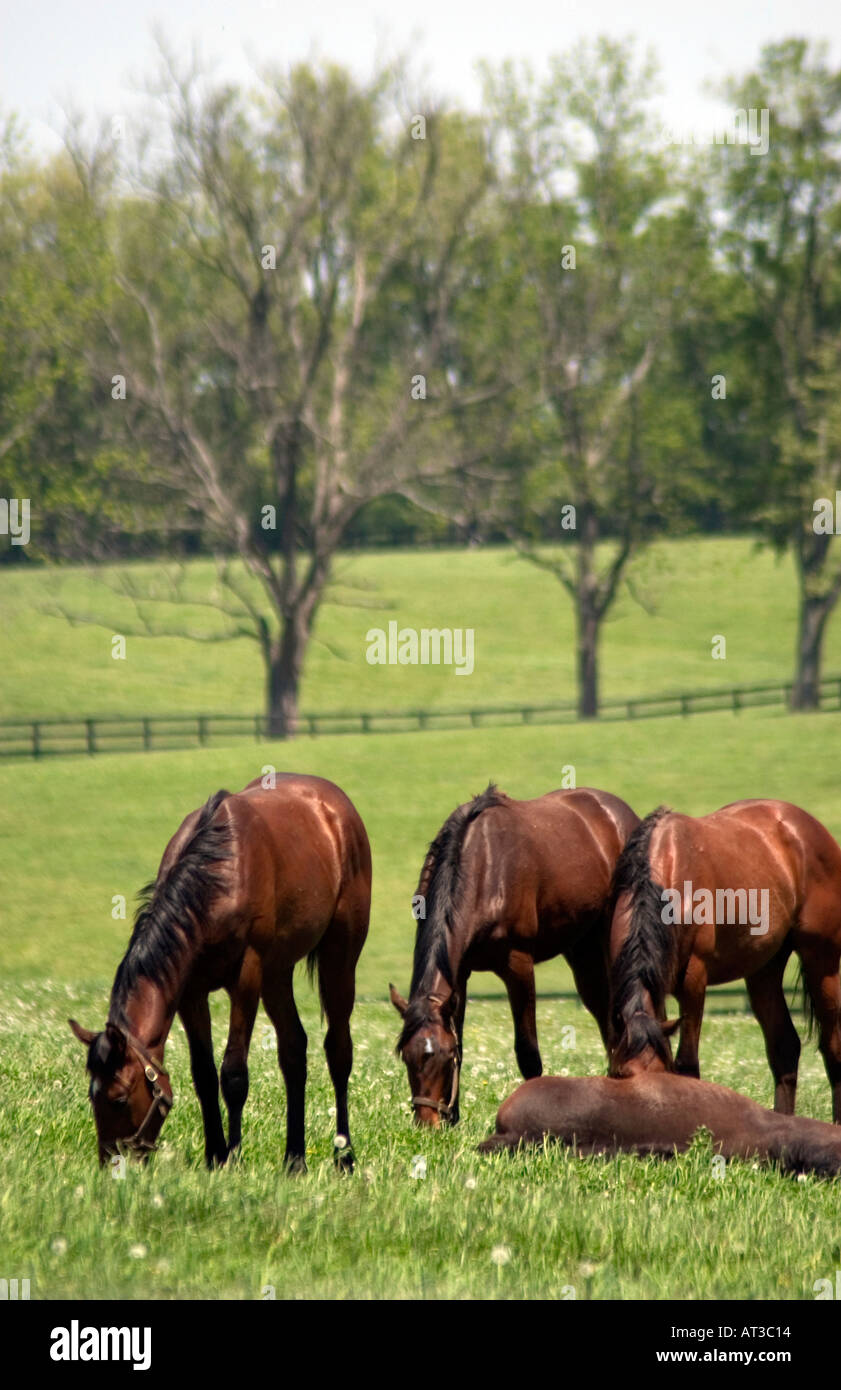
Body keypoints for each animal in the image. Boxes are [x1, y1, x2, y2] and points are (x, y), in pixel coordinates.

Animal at [69, 774, 371, 1171]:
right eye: (93, 1096)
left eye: (118, 1098)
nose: (111, 1164)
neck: (216, 877)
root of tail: (336, 804)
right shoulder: (190, 992)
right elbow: (204, 1074)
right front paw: (215, 1155)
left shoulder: (246, 979)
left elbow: (234, 1074)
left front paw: (234, 1157)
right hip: (277, 974)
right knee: (294, 1050)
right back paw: (294, 1160)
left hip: (339, 959)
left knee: (338, 1050)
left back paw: (344, 1156)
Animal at [389, 783, 639, 1126]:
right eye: (407, 1055)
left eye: (443, 1055)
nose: (427, 1124)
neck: (483, 867)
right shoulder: (460, 973)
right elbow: (462, 1038)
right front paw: (454, 1119)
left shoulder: (518, 965)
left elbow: (528, 1053)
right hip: (582, 950)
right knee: (607, 1020)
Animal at [607, 801, 841, 1121]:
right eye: (619, 1075)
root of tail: (807, 825)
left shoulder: (693, 979)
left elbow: (687, 1064)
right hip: (763, 970)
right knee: (784, 1047)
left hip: (823, 960)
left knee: (833, 1046)